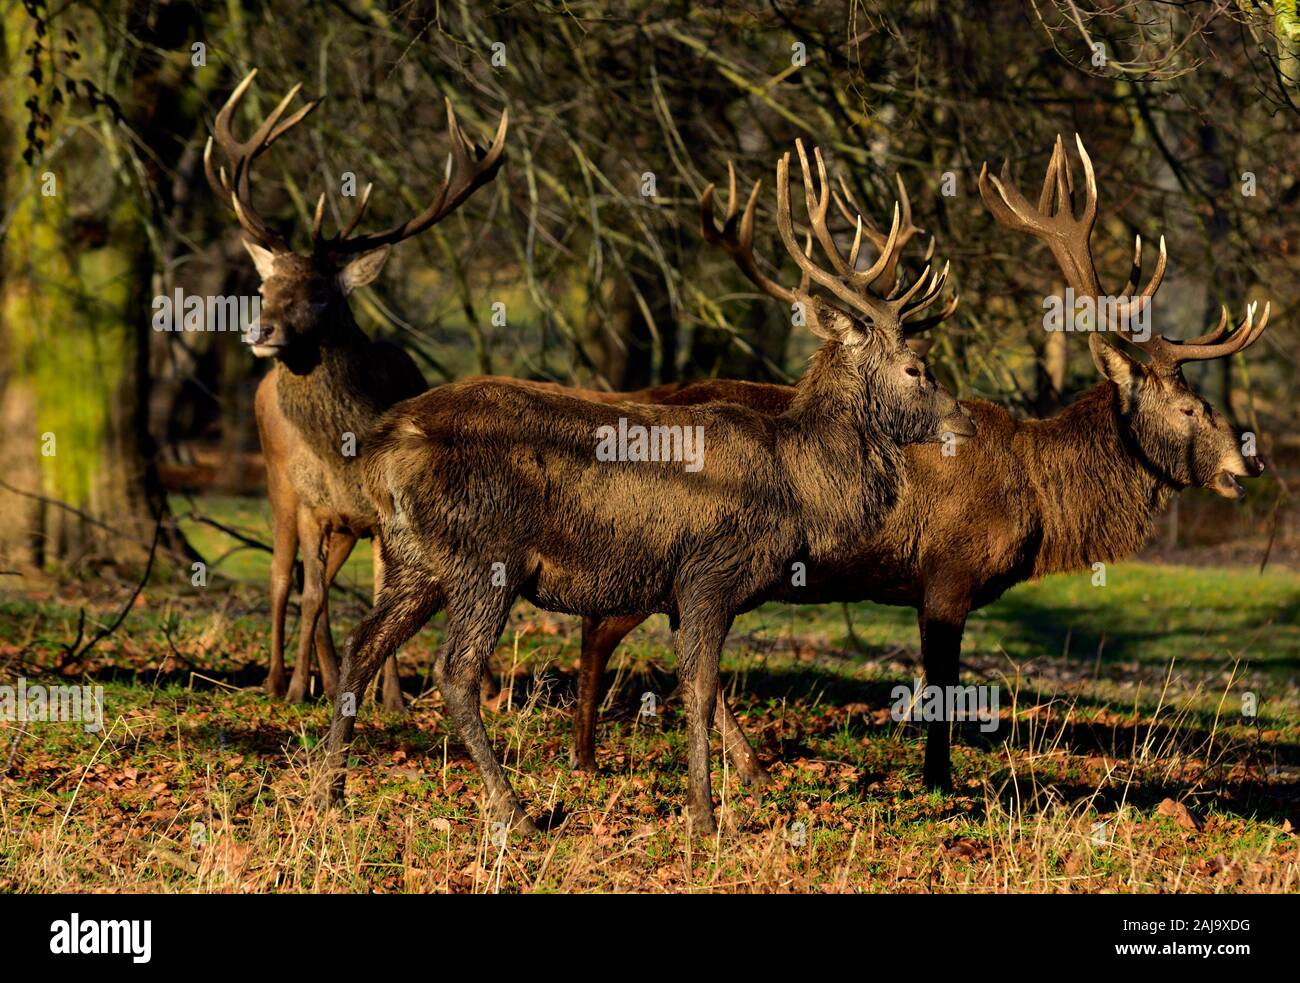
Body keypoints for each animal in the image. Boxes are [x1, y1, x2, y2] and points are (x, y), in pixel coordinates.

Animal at [205, 69, 506, 709]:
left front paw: (386, 697)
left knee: (320, 585)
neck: (345, 443)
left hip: (342, 524)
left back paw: (327, 675)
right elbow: (312, 595)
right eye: (265, 284)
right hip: (278, 486)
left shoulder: (380, 513)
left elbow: (375, 597)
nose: (260, 331)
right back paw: (279, 679)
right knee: (283, 579)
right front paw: (300, 688)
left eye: (320, 293)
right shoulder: (313, 501)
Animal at [324, 140, 975, 835]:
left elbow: (706, 687)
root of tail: (382, 447)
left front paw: (744, 784)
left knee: (364, 644)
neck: (800, 490)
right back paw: (514, 811)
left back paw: (329, 793)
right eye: (917, 368)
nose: (963, 420)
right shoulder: (710, 570)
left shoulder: (679, 589)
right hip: (483, 554)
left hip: (412, 558)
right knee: (455, 670)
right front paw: (705, 815)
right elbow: (700, 688)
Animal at [566, 135, 1272, 793]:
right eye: (1191, 406)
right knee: (609, 629)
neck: (1041, 498)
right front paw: (939, 780)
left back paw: (711, 764)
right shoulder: (947, 572)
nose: (1251, 465)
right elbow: (943, 691)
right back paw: (600, 758)